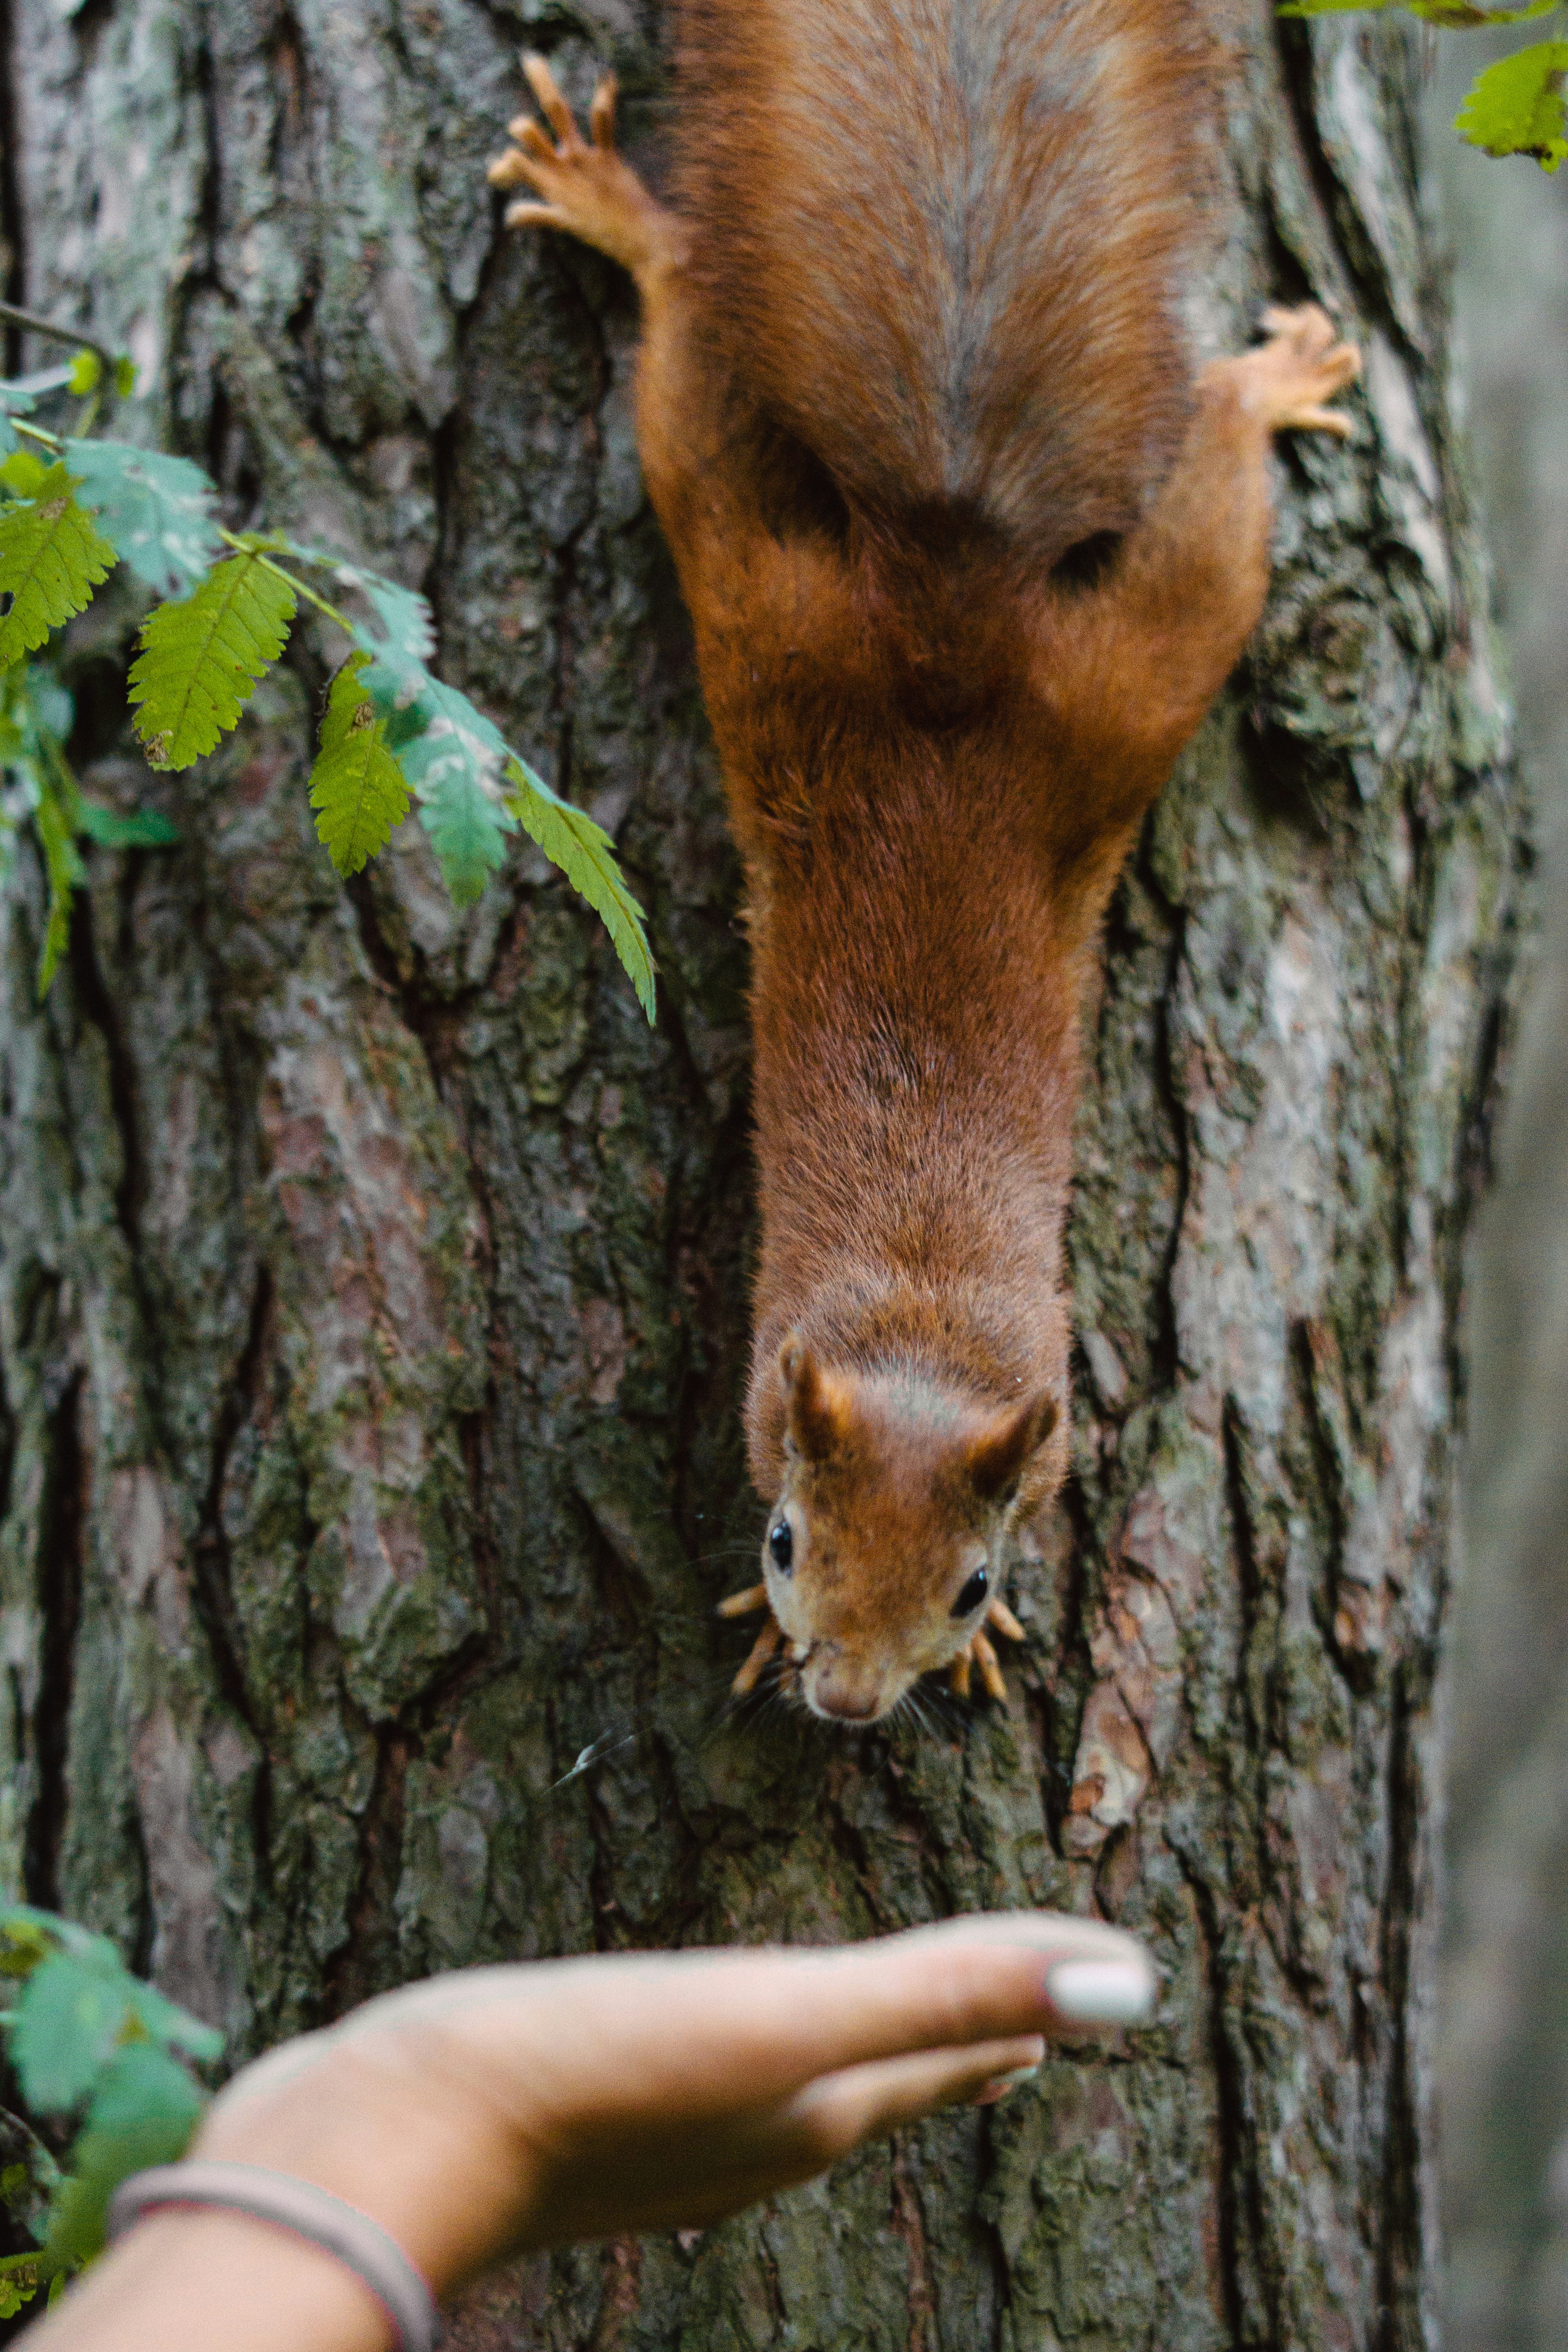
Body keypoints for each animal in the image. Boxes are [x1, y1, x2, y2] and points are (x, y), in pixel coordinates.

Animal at [488, 7, 1359, 1728]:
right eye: (779, 1541)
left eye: (964, 1580)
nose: (841, 1701)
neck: (916, 1325)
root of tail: (948, 624)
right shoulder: (769, 1391)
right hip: (815, 624)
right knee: (693, 371)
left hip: (1052, 687)